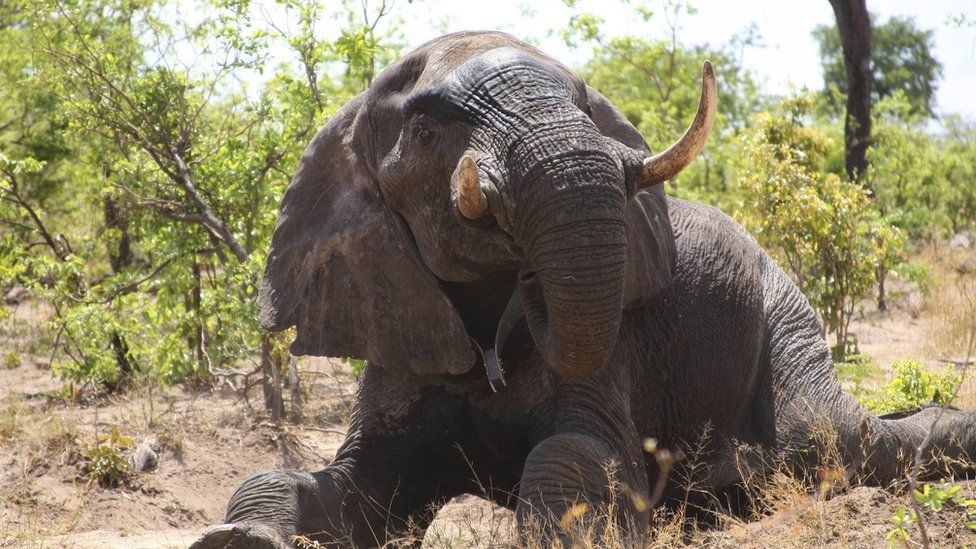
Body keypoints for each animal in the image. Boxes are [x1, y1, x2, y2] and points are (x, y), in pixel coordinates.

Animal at [192, 31, 976, 548]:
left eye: (585, 104)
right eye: (423, 132)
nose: (530, 286)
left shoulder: (618, 351)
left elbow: (578, 455)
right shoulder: (398, 318)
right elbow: (345, 485)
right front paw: (238, 536)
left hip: (781, 308)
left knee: (830, 437)